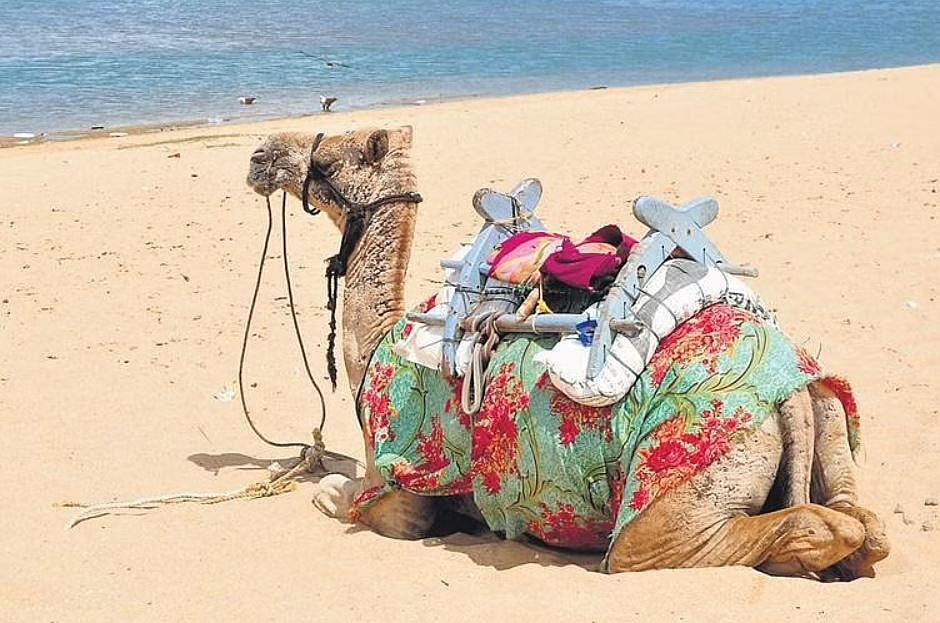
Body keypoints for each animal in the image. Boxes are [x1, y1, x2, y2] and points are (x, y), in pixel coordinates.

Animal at [245, 126, 889, 578]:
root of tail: (789, 393)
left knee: (676, 544)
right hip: (829, 419)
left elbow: (345, 498)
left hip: (681, 484)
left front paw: (321, 483)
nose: (259, 155)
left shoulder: (404, 488)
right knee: (866, 524)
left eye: (331, 154)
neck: (383, 342)